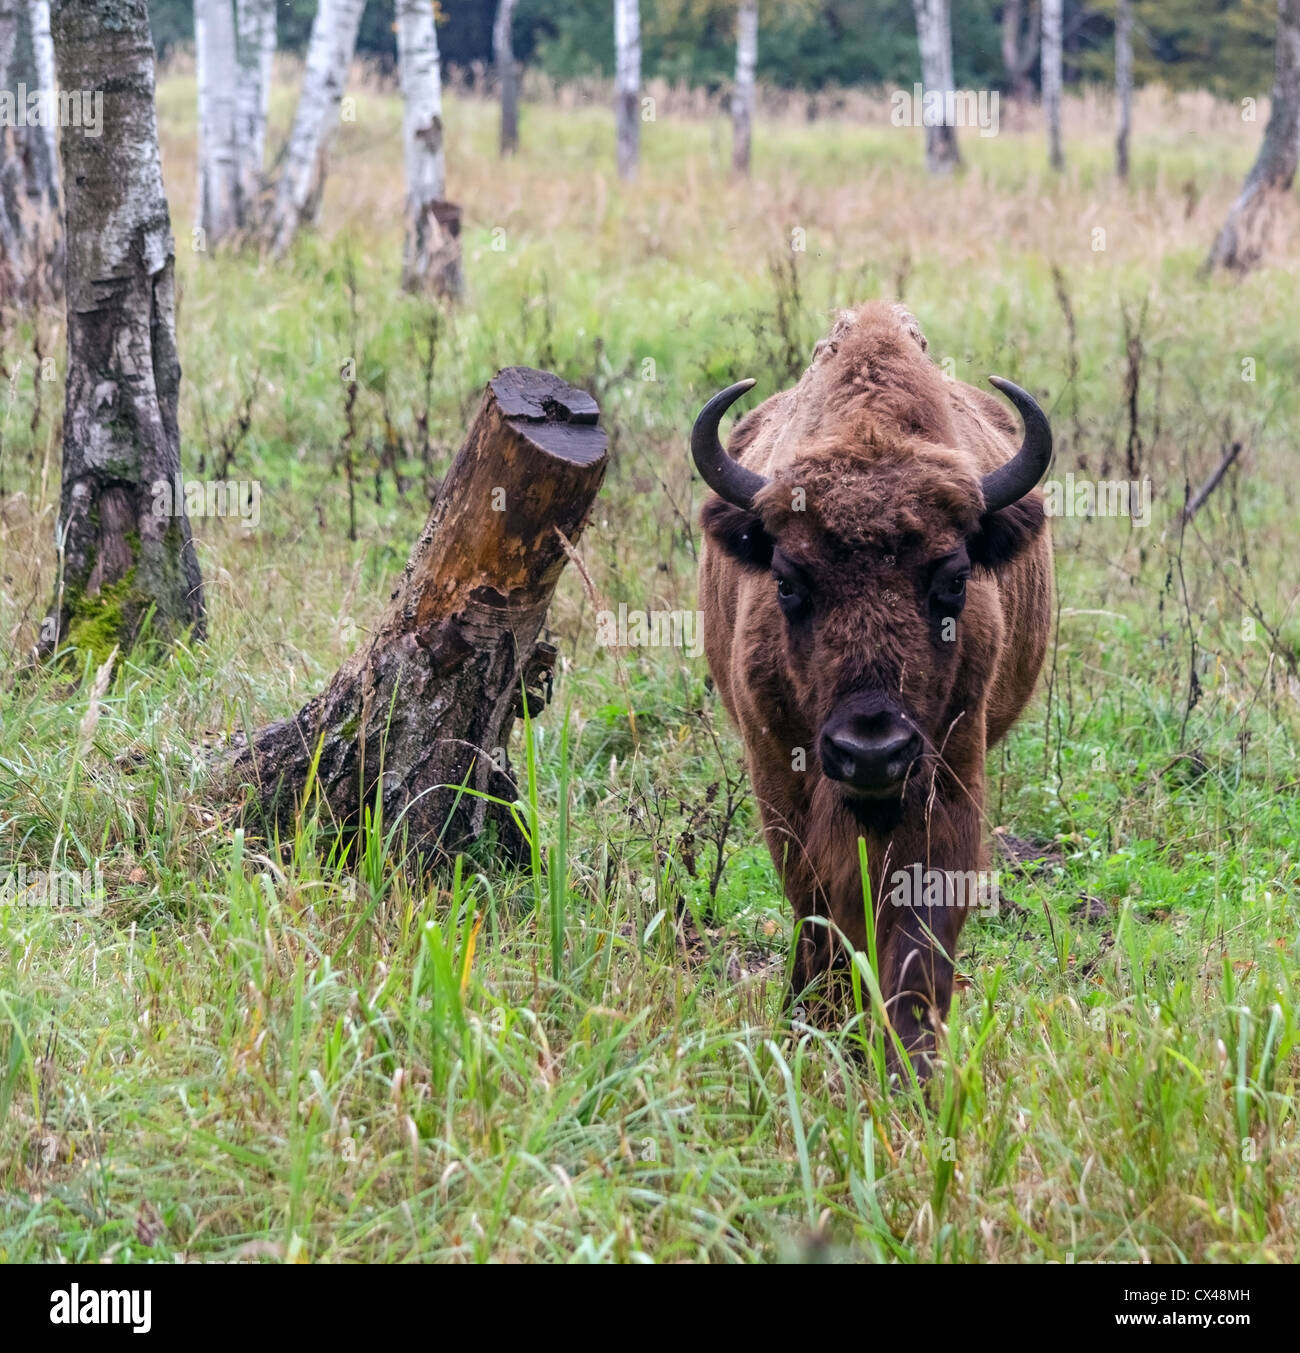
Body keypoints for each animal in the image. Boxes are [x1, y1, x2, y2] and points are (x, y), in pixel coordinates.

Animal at [694, 302, 1054, 1072]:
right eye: (788, 581)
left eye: (954, 578)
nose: (871, 751)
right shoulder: (783, 783)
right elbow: (822, 913)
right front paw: (822, 1030)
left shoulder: (948, 782)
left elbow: (918, 938)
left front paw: (913, 1069)